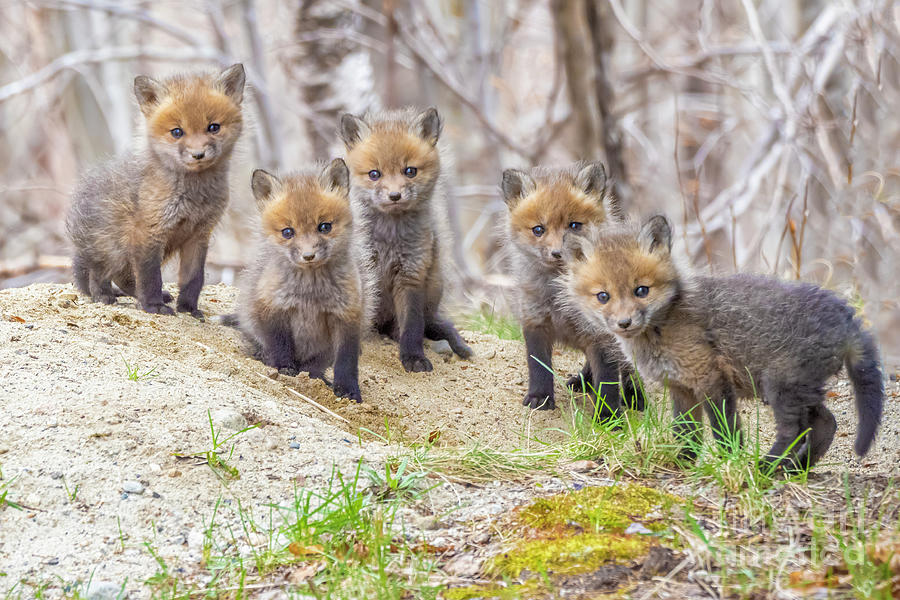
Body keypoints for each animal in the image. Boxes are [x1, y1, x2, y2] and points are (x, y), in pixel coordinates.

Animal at [66, 64, 246, 318]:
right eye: (177, 132)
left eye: (213, 127)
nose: (198, 155)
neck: (193, 199)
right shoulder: (148, 233)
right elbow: (150, 277)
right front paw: (153, 306)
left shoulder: (199, 235)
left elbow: (194, 279)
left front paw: (188, 308)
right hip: (113, 248)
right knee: (99, 274)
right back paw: (103, 296)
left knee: (123, 278)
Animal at [233, 159, 371, 402]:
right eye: (288, 232)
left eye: (324, 227)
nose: (308, 256)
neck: (310, 294)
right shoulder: (271, 308)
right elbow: (279, 345)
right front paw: (284, 370)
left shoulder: (348, 316)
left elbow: (346, 362)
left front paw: (348, 391)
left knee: (314, 368)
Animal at [339, 106, 472, 372]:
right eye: (374, 174)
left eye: (409, 171)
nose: (394, 195)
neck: (389, 240)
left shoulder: (411, 274)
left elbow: (412, 326)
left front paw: (413, 357)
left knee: (437, 325)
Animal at [501, 162, 645, 415]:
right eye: (538, 229)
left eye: (574, 226)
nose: (558, 253)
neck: (560, 297)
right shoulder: (535, 321)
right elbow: (539, 366)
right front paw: (540, 398)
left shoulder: (601, 335)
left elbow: (607, 381)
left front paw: (607, 416)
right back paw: (582, 381)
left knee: (629, 369)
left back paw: (635, 397)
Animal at [563, 215, 884, 469]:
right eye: (603, 296)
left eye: (641, 290)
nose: (624, 323)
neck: (663, 327)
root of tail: (844, 313)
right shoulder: (681, 389)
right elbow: (686, 432)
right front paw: (684, 462)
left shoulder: (712, 379)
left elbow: (724, 431)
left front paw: (732, 462)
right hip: (802, 389)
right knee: (826, 424)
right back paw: (794, 471)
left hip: (780, 386)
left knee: (795, 431)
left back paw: (765, 468)